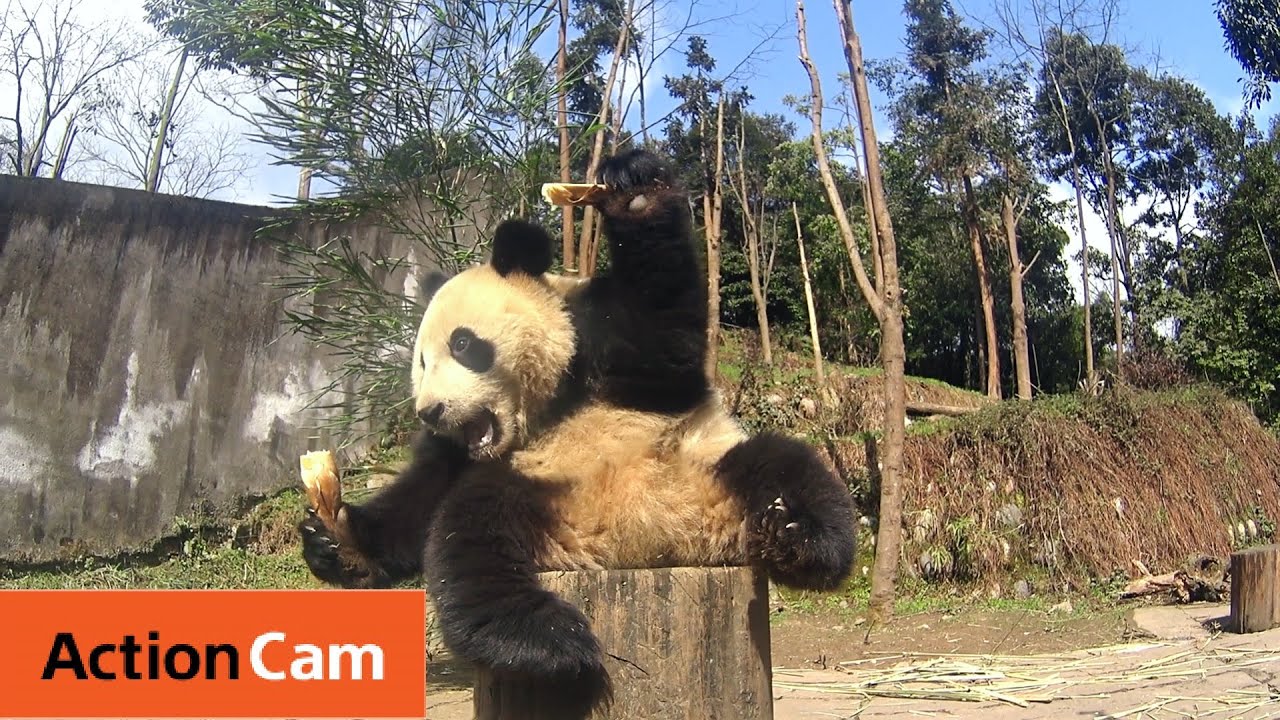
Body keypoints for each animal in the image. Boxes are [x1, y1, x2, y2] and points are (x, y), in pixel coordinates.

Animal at [298, 149, 857, 718]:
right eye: (420, 362)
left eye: (463, 343)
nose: (430, 411)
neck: (544, 409)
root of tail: (646, 543)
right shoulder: (459, 452)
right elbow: (420, 499)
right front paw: (338, 541)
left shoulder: (605, 339)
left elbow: (661, 330)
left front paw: (632, 188)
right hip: (543, 497)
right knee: (470, 539)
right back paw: (546, 642)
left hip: (702, 464)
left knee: (785, 465)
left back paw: (796, 537)